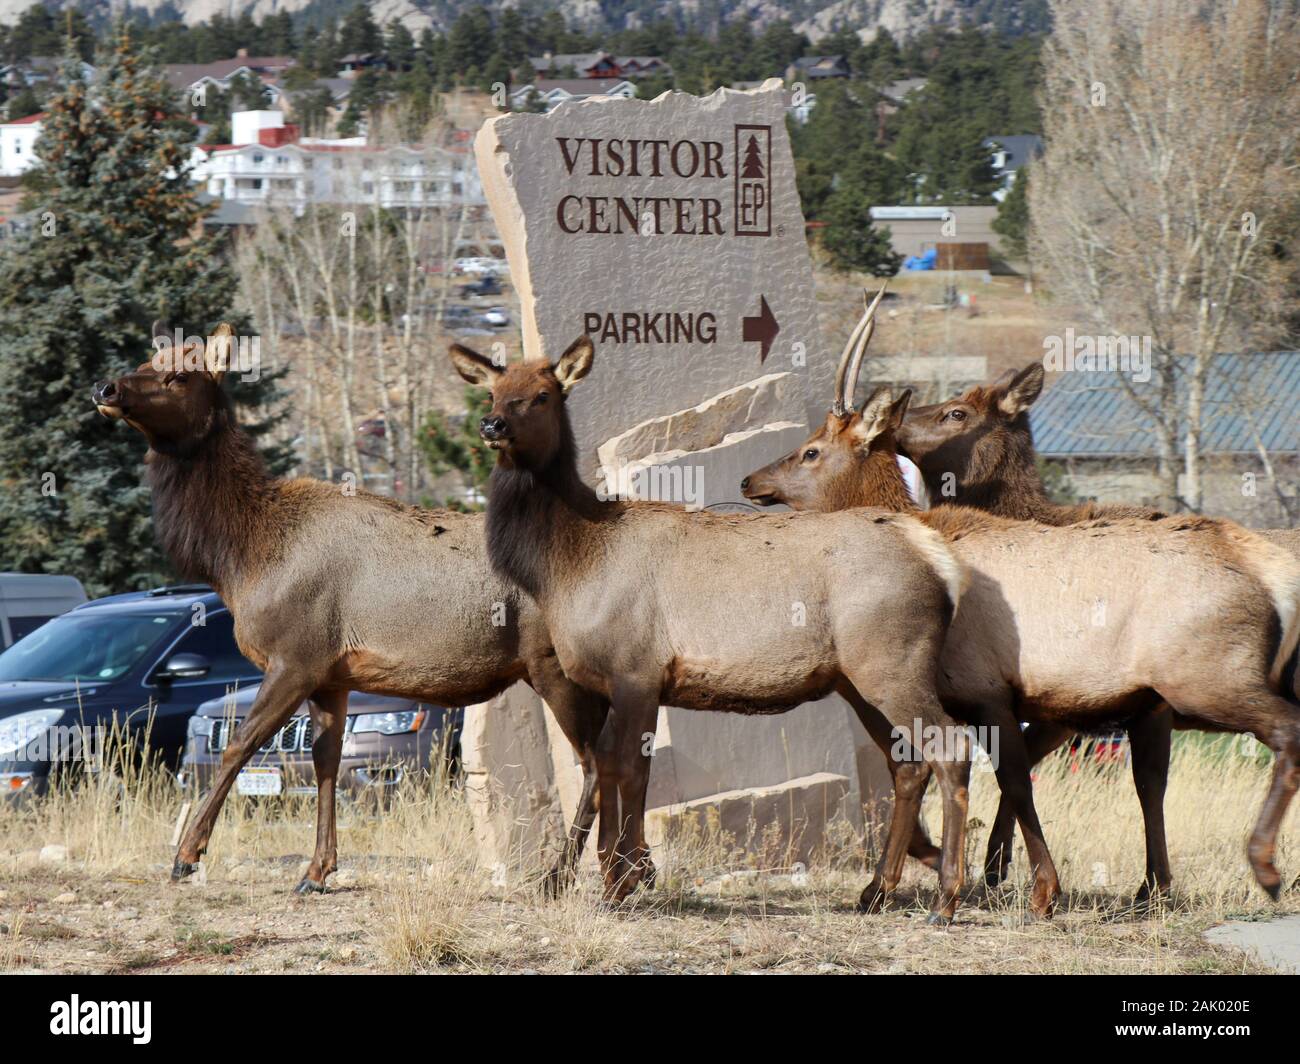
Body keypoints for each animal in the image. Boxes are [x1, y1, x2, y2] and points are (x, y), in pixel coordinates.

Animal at [92, 322, 613, 898]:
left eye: (179, 376)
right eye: (147, 361)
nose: (106, 388)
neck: (240, 558)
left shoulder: (295, 655)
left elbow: (240, 745)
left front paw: (187, 855)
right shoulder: (331, 675)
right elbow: (326, 763)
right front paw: (316, 870)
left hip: (553, 663)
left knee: (596, 763)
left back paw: (561, 876)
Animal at [449, 336, 976, 923]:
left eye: (542, 394)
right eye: (493, 391)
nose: (492, 424)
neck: (566, 563)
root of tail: (938, 559)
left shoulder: (636, 671)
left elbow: (623, 769)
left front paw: (619, 883)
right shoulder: (620, 683)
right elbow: (618, 769)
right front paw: (624, 875)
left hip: (893, 664)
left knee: (951, 747)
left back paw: (945, 898)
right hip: (859, 680)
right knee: (908, 763)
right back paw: (877, 889)